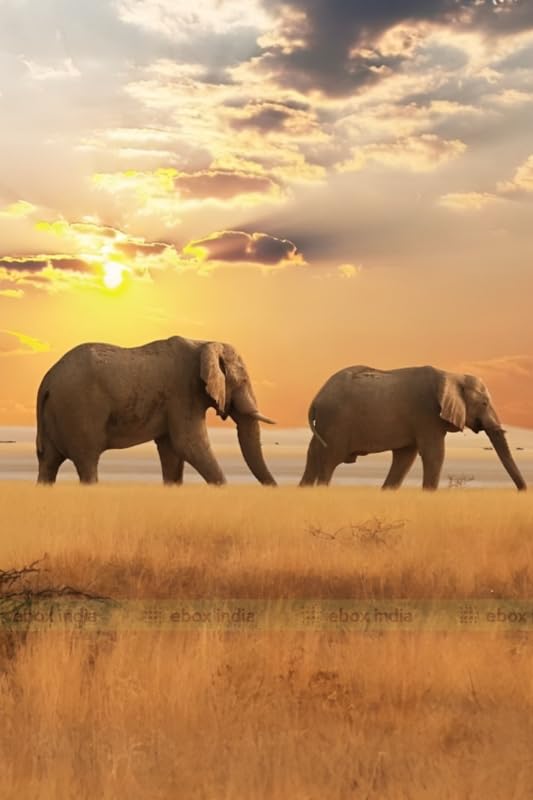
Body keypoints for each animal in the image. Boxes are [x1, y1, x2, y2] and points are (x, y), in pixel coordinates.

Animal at [36, 336, 277, 486]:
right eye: (242, 381)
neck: (204, 342)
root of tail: (48, 380)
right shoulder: (183, 392)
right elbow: (189, 444)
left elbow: (172, 451)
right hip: (79, 410)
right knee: (87, 462)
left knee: (48, 462)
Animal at [300, 365, 527, 491]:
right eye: (484, 403)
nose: (522, 491)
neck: (452, 375)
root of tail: (316, 398)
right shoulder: (426, 415)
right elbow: (434, 454)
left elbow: (405, 457)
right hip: (336, 423)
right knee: (329, 461)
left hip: (325, 424)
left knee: (313, 456)